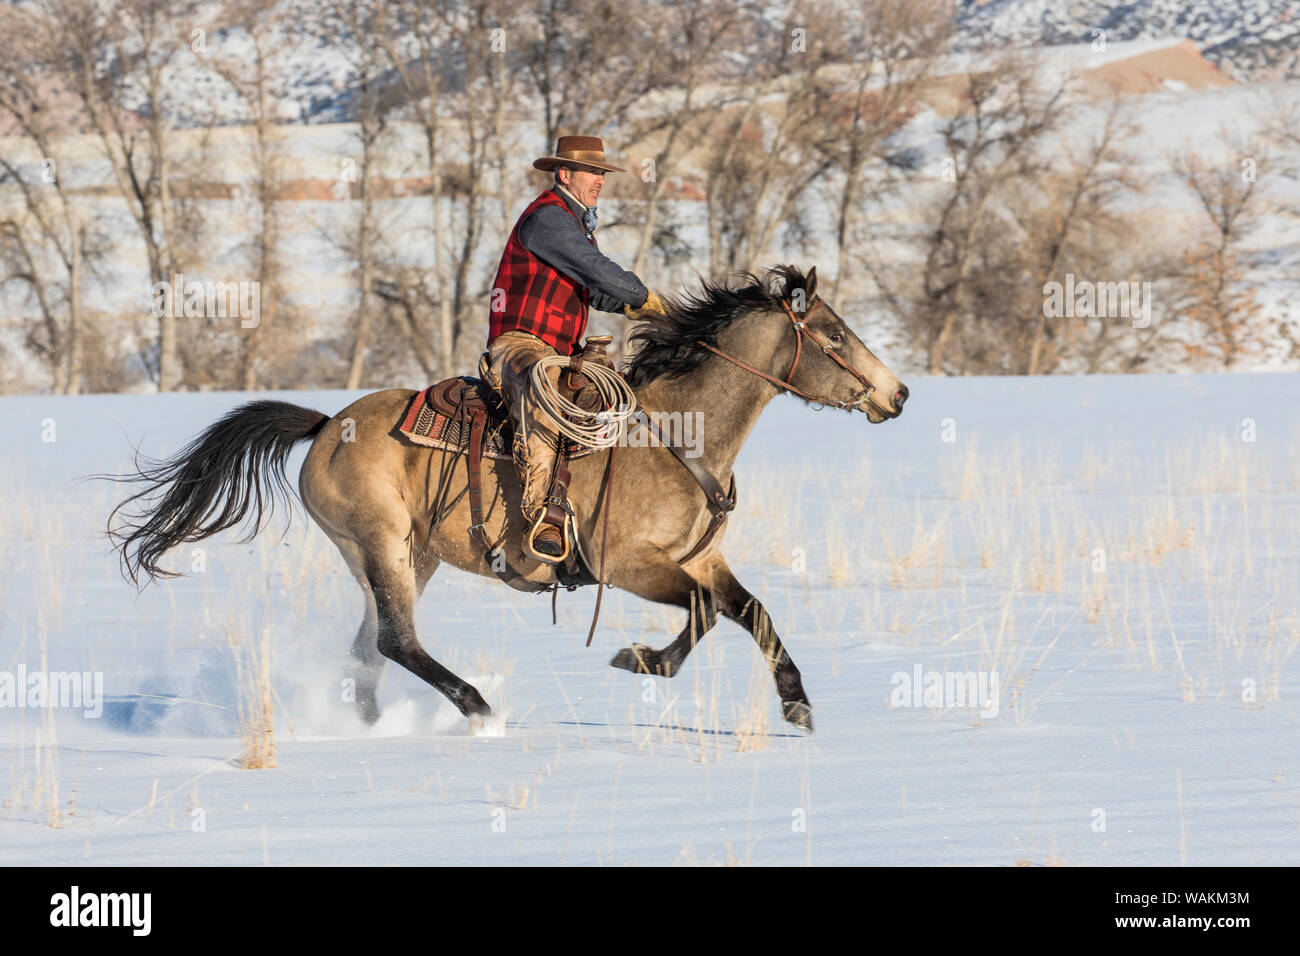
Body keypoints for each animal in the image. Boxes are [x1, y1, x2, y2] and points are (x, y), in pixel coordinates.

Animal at [106, 265, 908, 732]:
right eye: (835, 335)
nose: (897, 394)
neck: (679, 437)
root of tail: (326, 425)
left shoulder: (700, 558)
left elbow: (749, 611)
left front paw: (797, 703)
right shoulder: (629, 566)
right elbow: (710, 613)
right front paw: (639, 661)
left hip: (408, 557)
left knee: (369, 647)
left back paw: (369, 727)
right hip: (381, 545)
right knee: (396, 641)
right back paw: (479, 709)